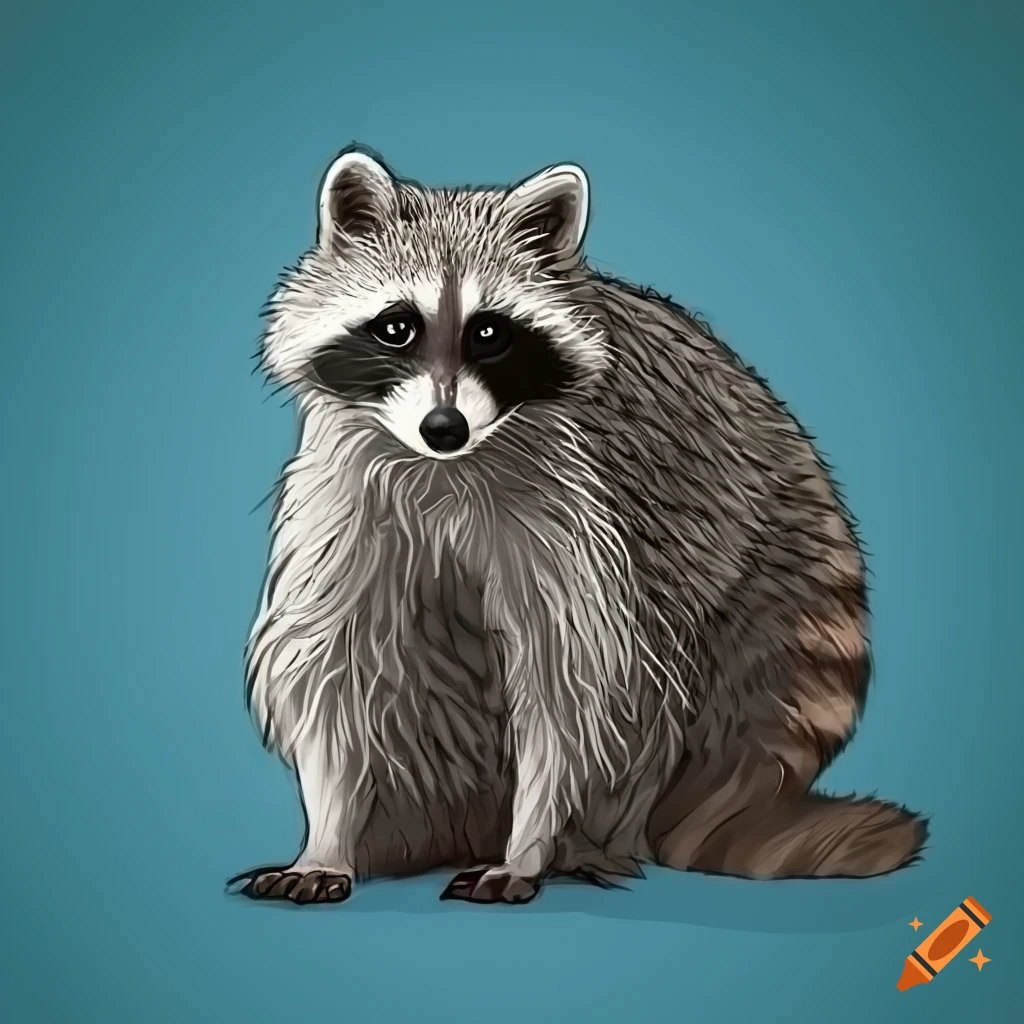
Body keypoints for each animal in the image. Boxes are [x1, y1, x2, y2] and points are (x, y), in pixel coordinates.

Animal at [230, 144, 928, 906]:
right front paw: (329, 836)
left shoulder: (575, 508)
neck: (445, 467)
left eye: (490, 332)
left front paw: (531, 841)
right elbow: (338, 668)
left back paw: (580, 845)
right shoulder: (348, 498)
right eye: (396, 326)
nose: (444, 427)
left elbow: (572, 683)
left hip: (768, 577)